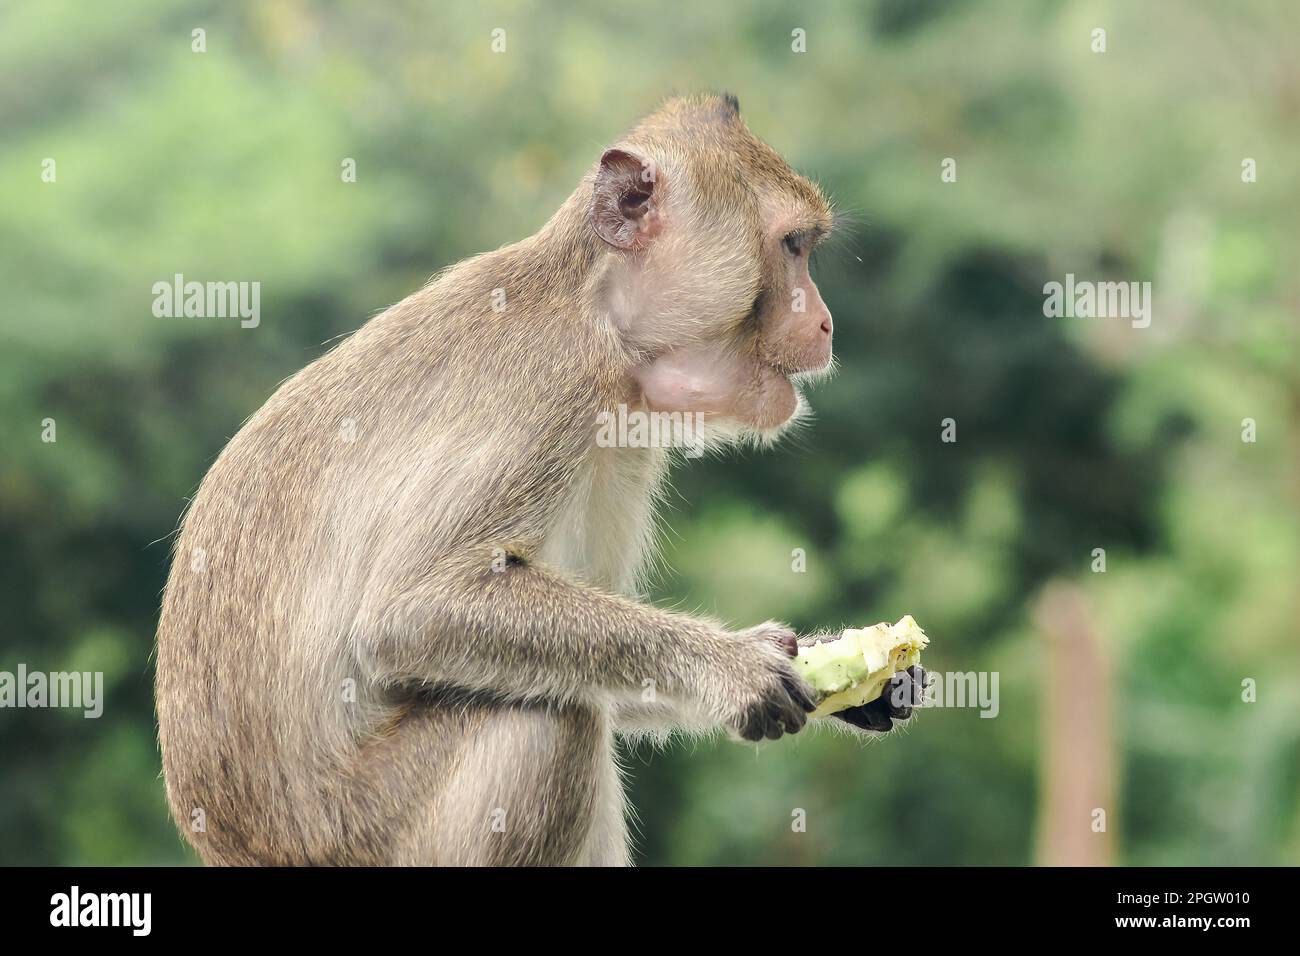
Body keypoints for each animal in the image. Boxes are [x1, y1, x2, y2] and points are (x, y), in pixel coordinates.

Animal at [155, 93, 913, 867]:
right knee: (549, 719)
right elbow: (411, 612)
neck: (599, 315)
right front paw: (737, 668)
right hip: (373, 831)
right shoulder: (553, 387)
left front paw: (836, 665)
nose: (824, 323)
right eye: (793, 247)